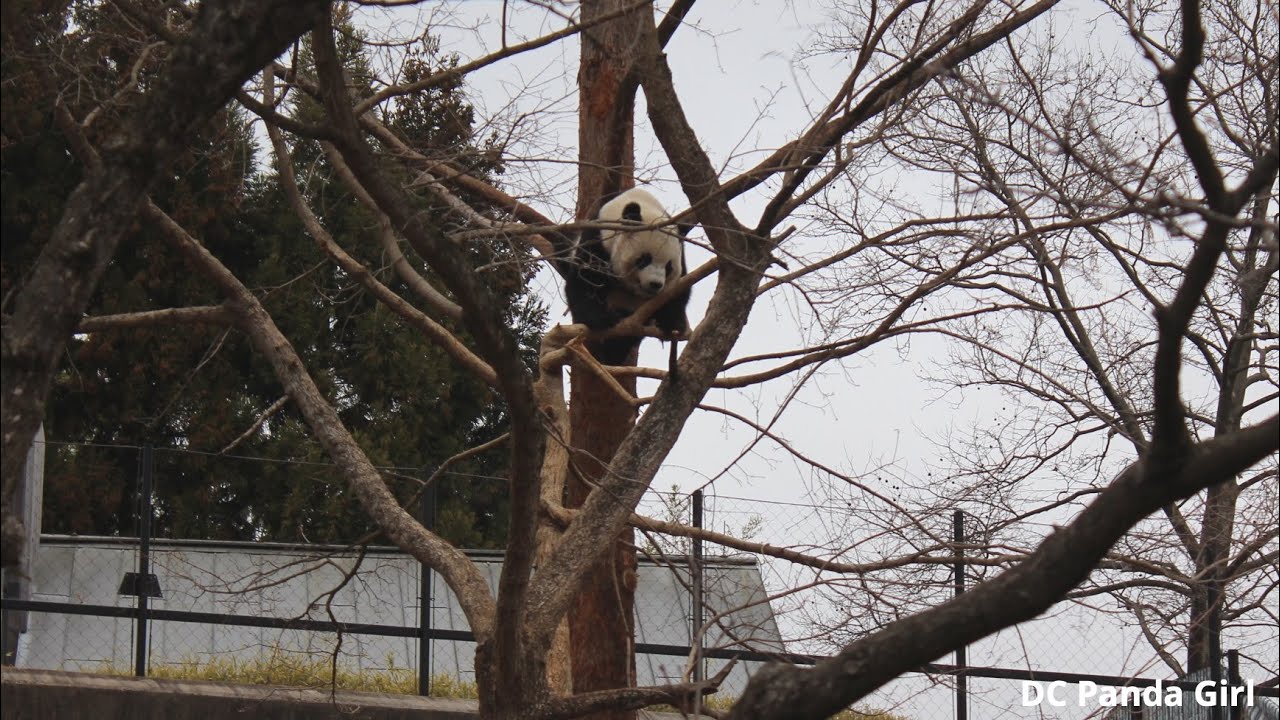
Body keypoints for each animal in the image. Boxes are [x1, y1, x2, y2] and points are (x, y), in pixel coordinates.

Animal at [564, 188, 692, 367]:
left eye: (668, 267)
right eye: (644, 259)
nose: (655, 284)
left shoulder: (681, 253)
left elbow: (679, 289)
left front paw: (672, 323)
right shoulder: (598, 239)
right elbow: (585, 281)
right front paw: (601, 319)